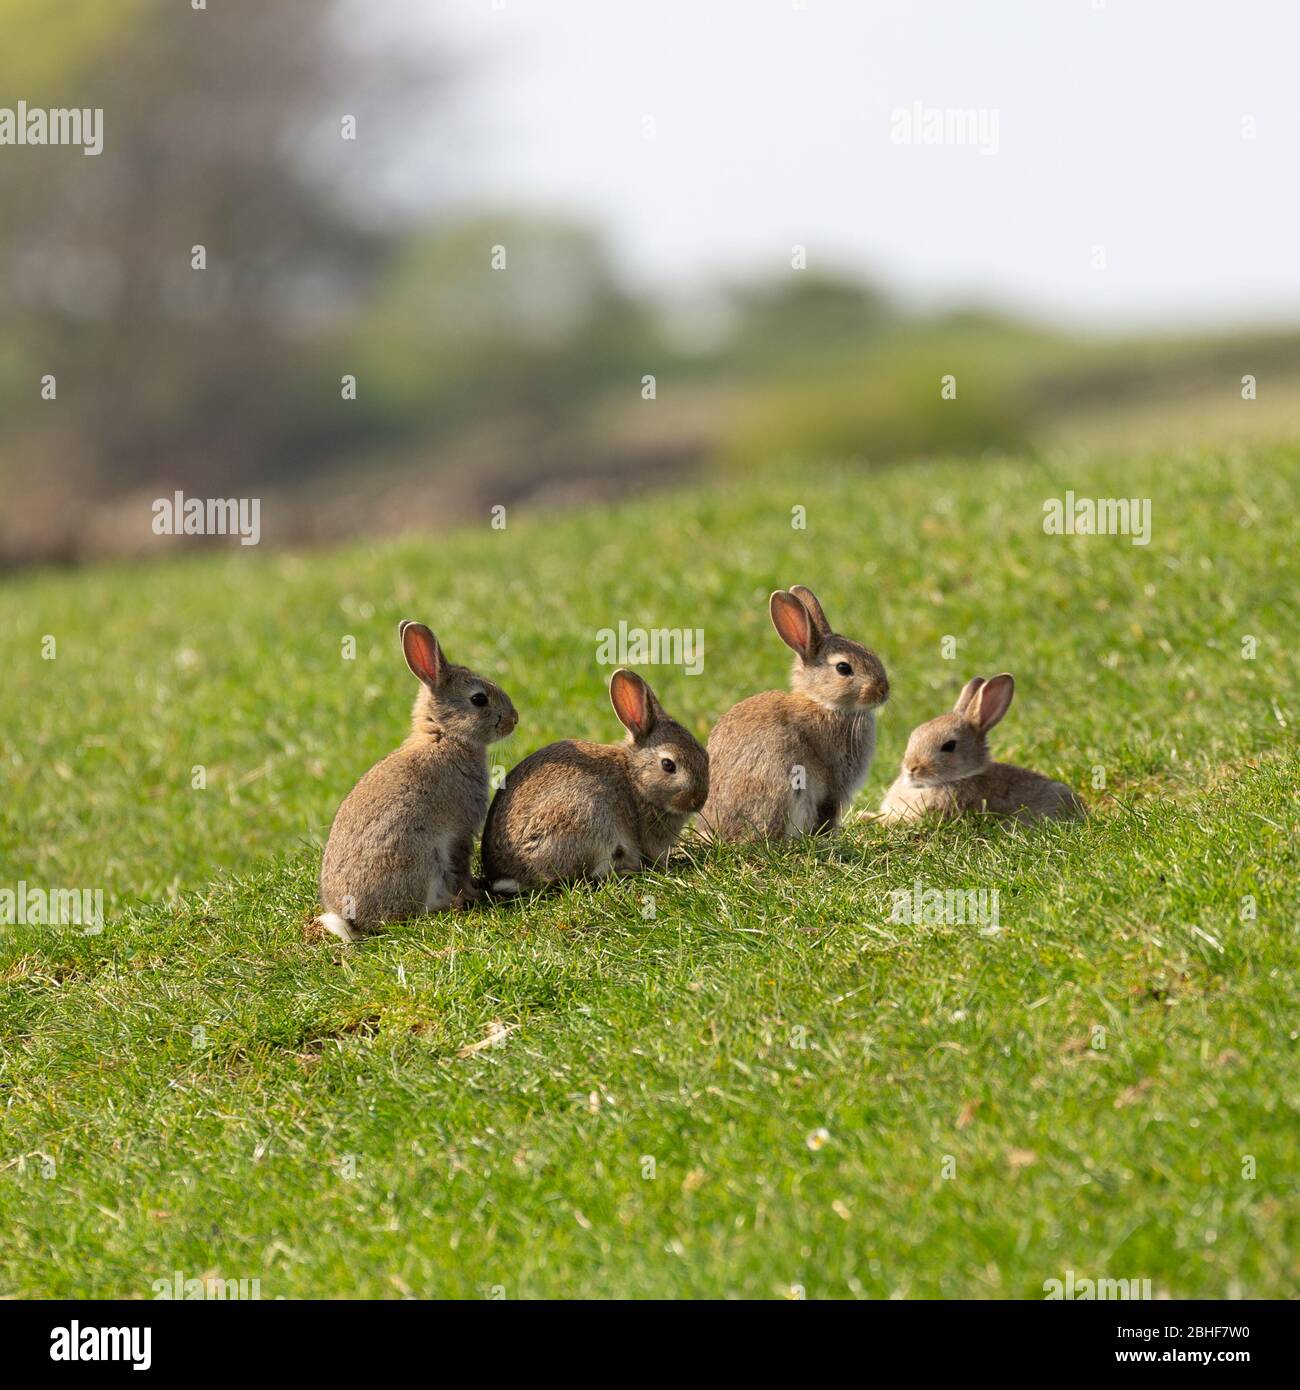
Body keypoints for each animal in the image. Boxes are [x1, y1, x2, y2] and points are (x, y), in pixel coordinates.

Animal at [314, 620, 517, 942]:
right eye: (479, 699)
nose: (514, 719)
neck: (444, 736)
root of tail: (349, 919)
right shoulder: (460, 832)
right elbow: (461, 867)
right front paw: (474, 892)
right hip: (419, 860)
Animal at [481, 668, 708, 891]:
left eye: (705, 755)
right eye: (668, 765)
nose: (698, 801)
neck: (635, 779)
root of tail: (509, 875)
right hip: (588, 820)